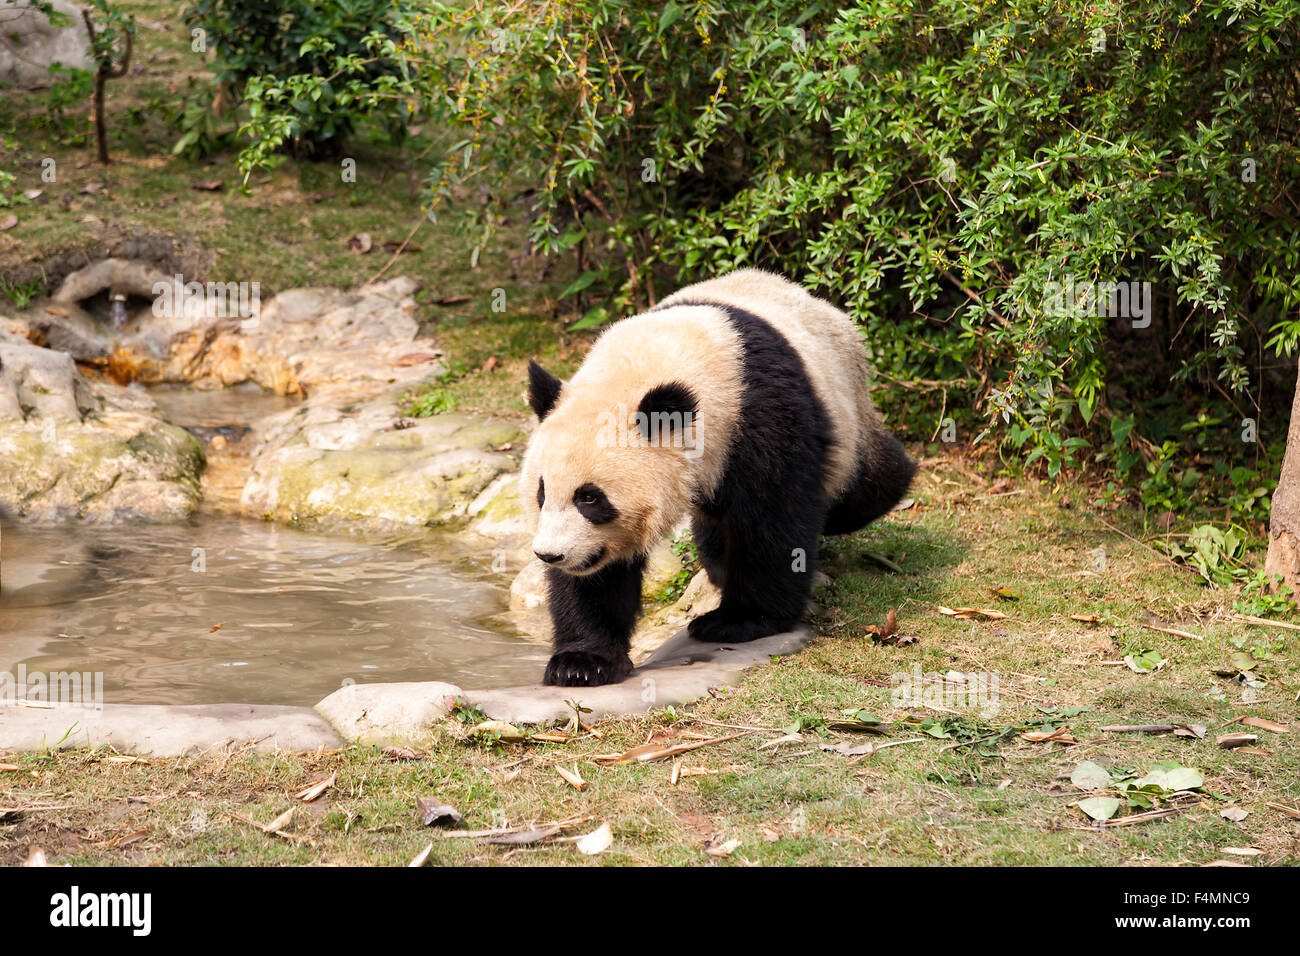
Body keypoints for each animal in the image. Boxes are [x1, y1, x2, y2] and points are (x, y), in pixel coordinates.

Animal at [522, 268, 915, 686]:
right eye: (542, 493)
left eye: (590, 498)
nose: (550, 554)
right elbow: (597, 576)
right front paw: (582, 662)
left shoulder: (760, 417)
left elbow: (773, 518)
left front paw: (739, 621)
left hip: (843, 402)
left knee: (863, 483)